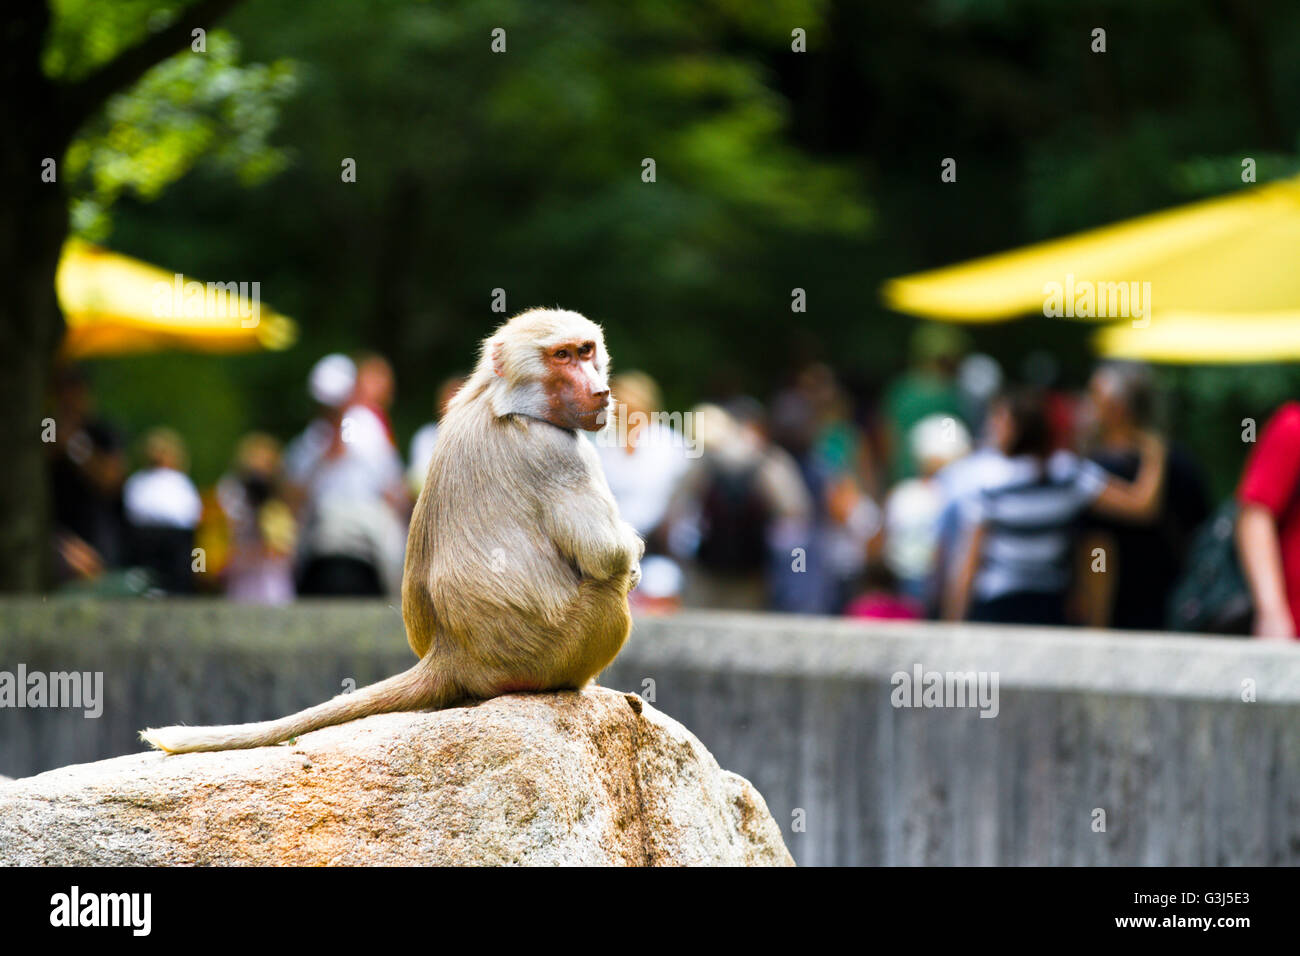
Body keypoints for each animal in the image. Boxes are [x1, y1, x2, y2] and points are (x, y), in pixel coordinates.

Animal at [140, 308, 644, 753]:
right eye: (561, 356)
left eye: (586, 350)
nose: (600, 391)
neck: (500, 399)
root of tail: (452, 657)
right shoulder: (560, 451)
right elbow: (608, 555)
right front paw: (633, 557)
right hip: (551, 653)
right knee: (606, 586)